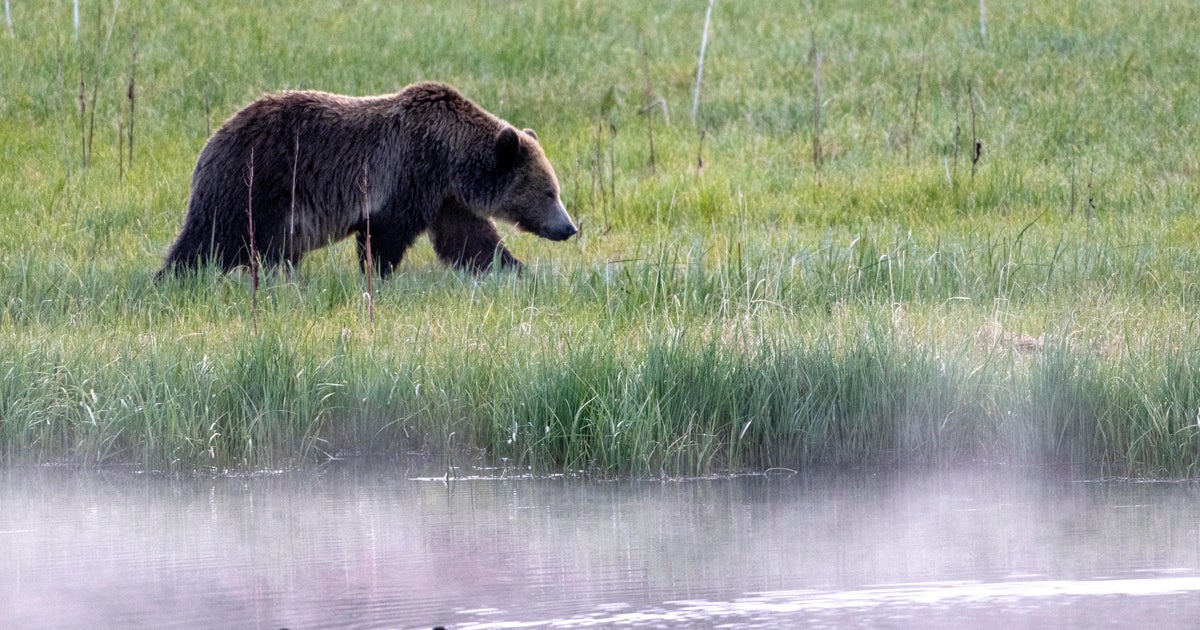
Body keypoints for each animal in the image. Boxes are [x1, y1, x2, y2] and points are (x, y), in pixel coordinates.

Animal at [159, 82, 577, 278]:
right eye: (549, 191)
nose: (569, 227)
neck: (451, 159)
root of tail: (212, 139)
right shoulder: (407, 175)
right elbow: (384, 236)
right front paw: (379, 275)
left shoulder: (445, 199)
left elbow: (471, 241)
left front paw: (515, 269)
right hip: (257, 183)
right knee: (210, 238)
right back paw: (173, 277)